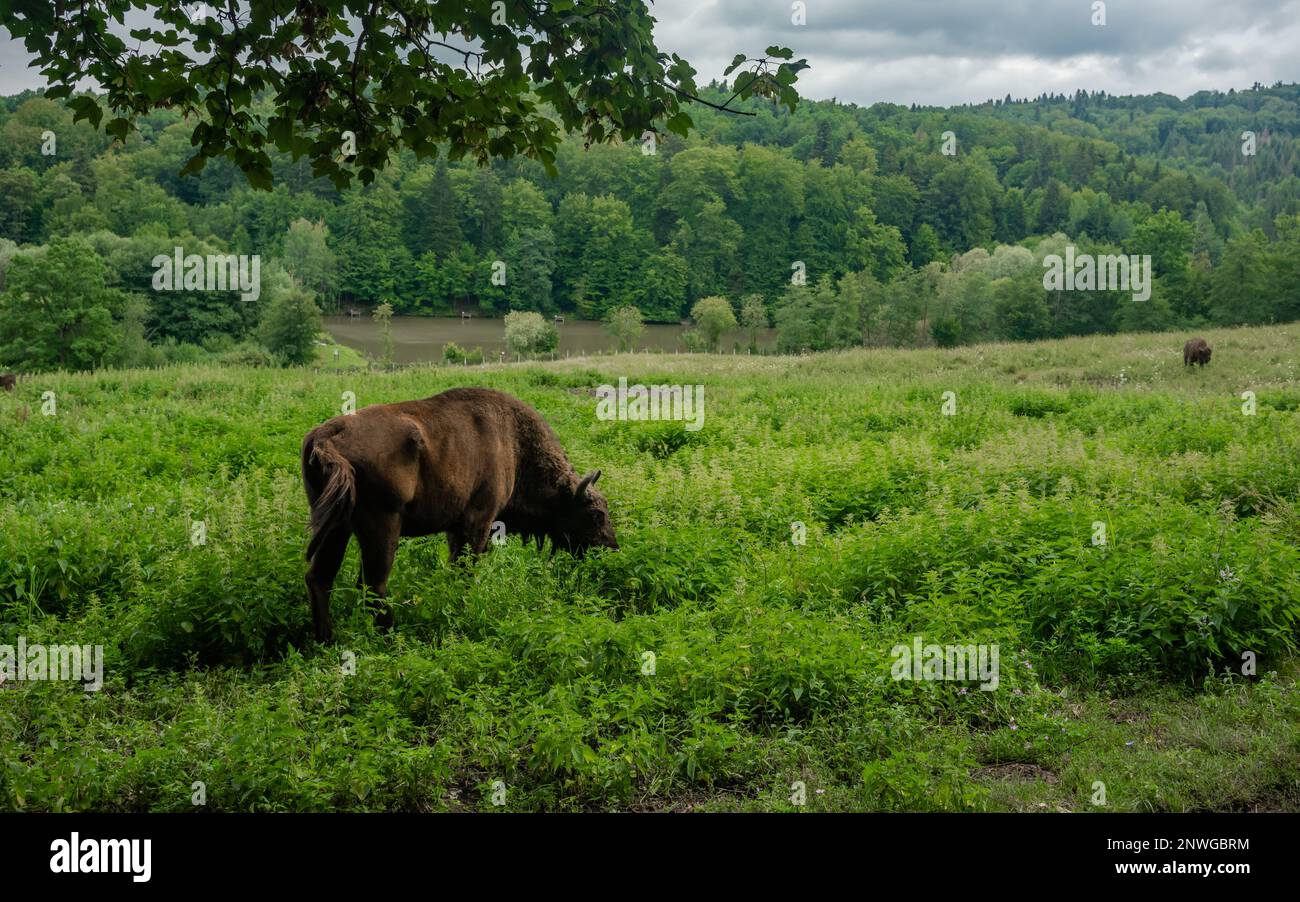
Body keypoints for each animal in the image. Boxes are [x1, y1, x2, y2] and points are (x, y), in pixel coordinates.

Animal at [301, 387, 617, 642]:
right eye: (595, 514)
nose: (611, 548)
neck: (514, 445)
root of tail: (326, 437)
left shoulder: (454, 528)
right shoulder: (479, 521)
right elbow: (466, 569)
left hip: (336, 527)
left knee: (320, 577)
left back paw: (326, 639)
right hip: (383, 525)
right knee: (372, 584)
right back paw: (390, 636)